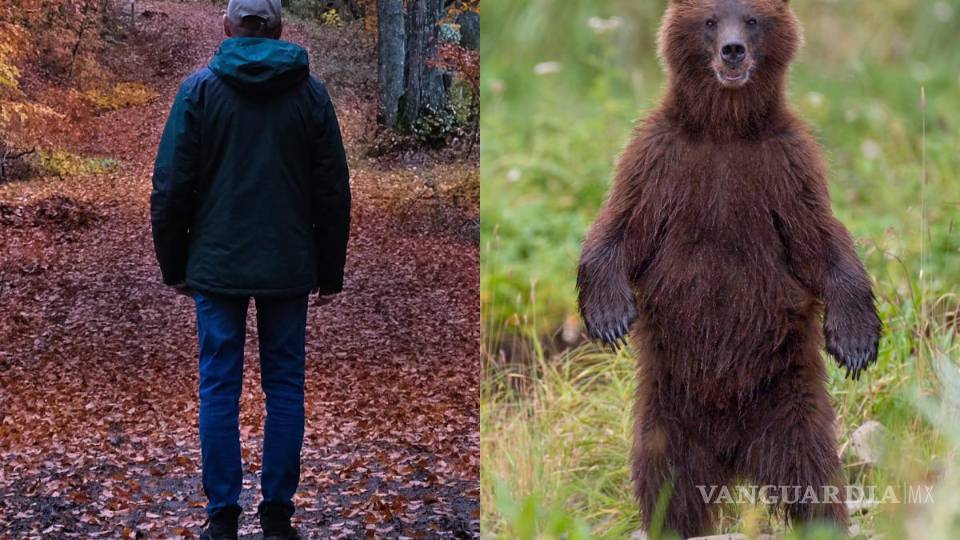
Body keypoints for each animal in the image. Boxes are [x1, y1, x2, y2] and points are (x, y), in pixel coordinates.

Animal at [576, 0, 882, 536]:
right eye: (710, 20)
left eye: (753, 19)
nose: (733, 50)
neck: (725, 127)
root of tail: (733, 457)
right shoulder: (660, 161)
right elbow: (620, 227)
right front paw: (609, 315)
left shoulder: (785, 168)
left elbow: (822, 243)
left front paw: (856, 340)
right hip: (668, 413)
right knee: (667, 485)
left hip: (789, 403)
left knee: (814, 478)